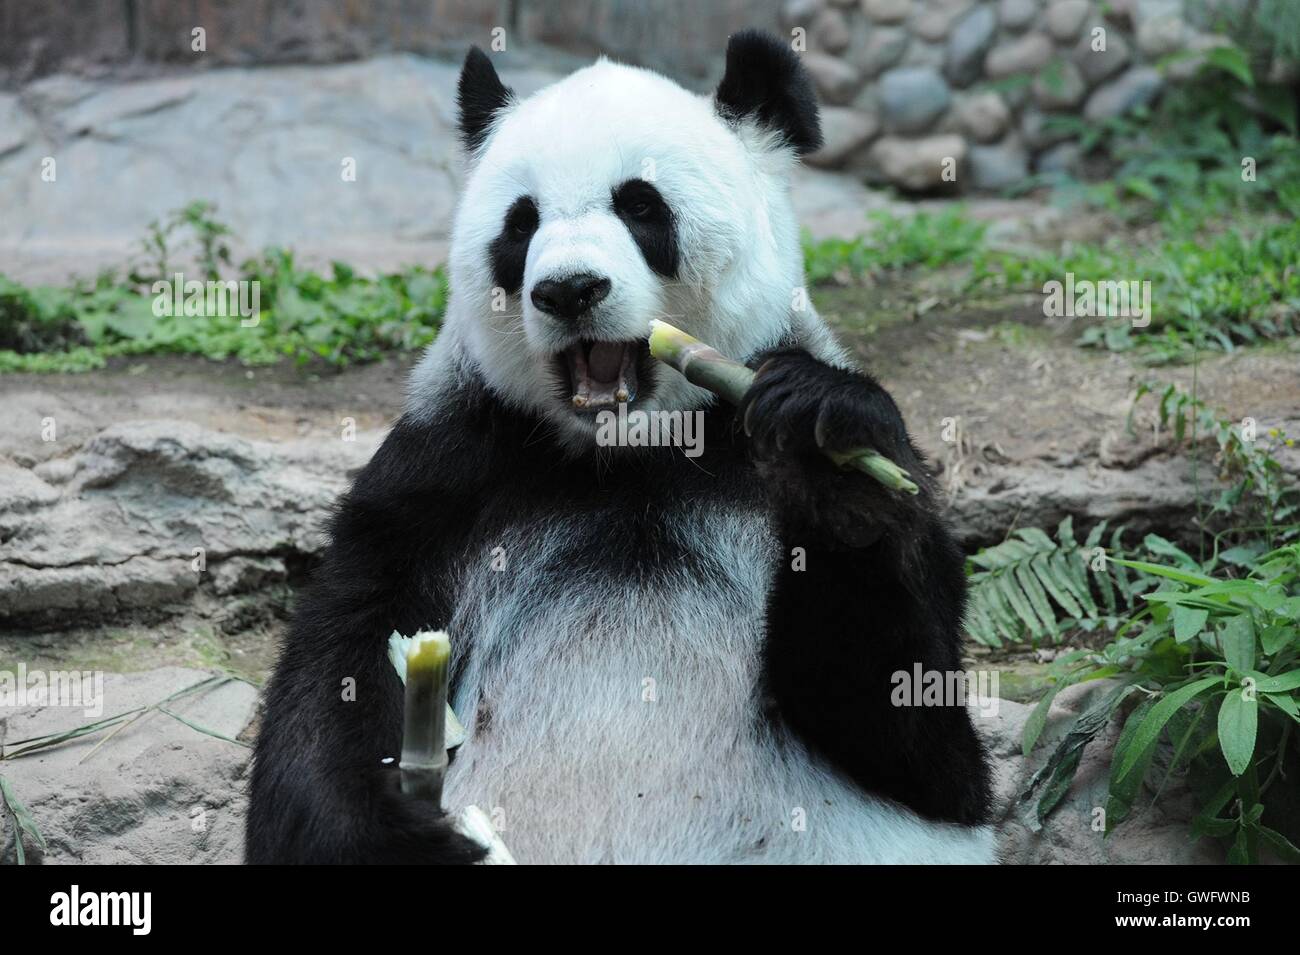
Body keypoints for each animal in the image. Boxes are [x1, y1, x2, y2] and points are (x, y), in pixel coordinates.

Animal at [246, 30, 995, 865]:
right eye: (520, 224)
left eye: (640, 205)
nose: (569, 290)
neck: (629, 453)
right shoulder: (445, 474)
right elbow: (331, 692)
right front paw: (413, 836)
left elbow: (921, 747)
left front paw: (831, 462)